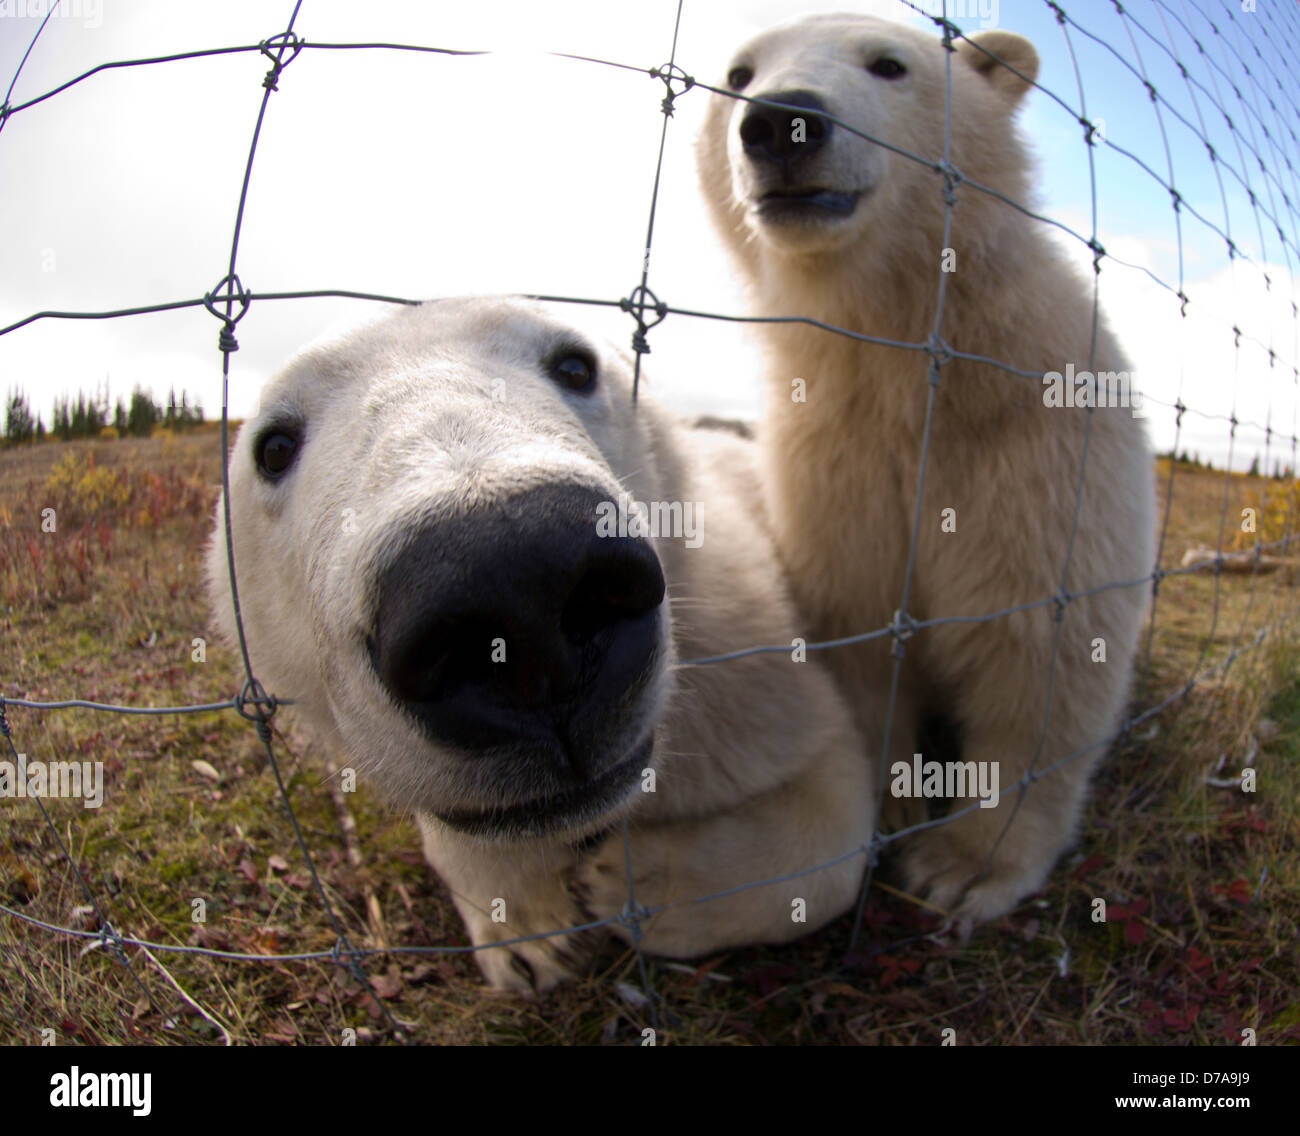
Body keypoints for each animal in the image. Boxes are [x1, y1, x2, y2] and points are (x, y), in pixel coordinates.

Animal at [206, 296, 872, 993]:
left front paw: (634, 884)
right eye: (275, 446)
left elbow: (835, 806)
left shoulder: (747, 662)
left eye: (575, 365)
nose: (516, 595)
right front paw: (529, 928)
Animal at [697, 14, 1157, 934]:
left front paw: (963, 868)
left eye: (889, 63)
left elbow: (1043, 649)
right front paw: (897, 800)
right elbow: (864, 624)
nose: (781, 120)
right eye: (738, 73)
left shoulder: (1037, 442)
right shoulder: (835, 458)